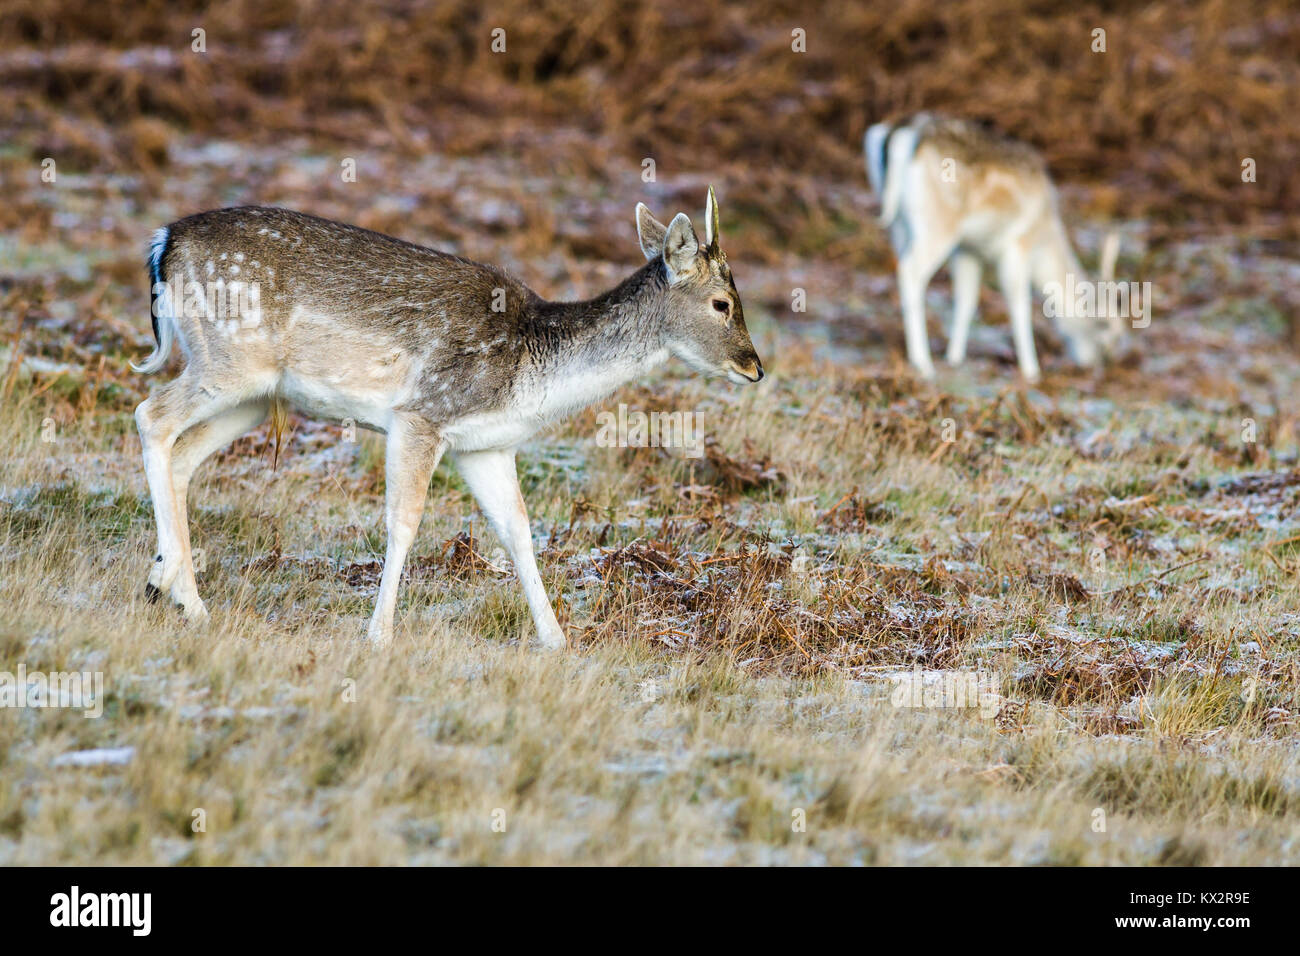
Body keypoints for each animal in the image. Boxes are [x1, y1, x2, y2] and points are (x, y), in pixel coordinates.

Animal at [131, 189, 763, 649]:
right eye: (723, 304)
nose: (755, 366)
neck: (531, 373)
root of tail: (163, 242)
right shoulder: (422, 414)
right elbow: (404, 522)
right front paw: (380, 635)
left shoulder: (485, 446)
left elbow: (519, 533)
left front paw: (556, 641)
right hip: (228, 361)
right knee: (150, 415)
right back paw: (181, 592)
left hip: (256, 395)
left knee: (183, 453)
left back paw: (176, 591)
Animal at [864, 113, 1123, 383]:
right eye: (1108, 331)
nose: (1100, 366)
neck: (1045, 234)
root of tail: (902, 130)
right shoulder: (1017, 243)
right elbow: (1018, 301)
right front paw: (1032, 370)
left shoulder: (968, 250)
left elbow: (966, 300)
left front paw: (955, 357)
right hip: (939, 222)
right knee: (911, 271)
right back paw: (923, 363)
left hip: (899, 224)